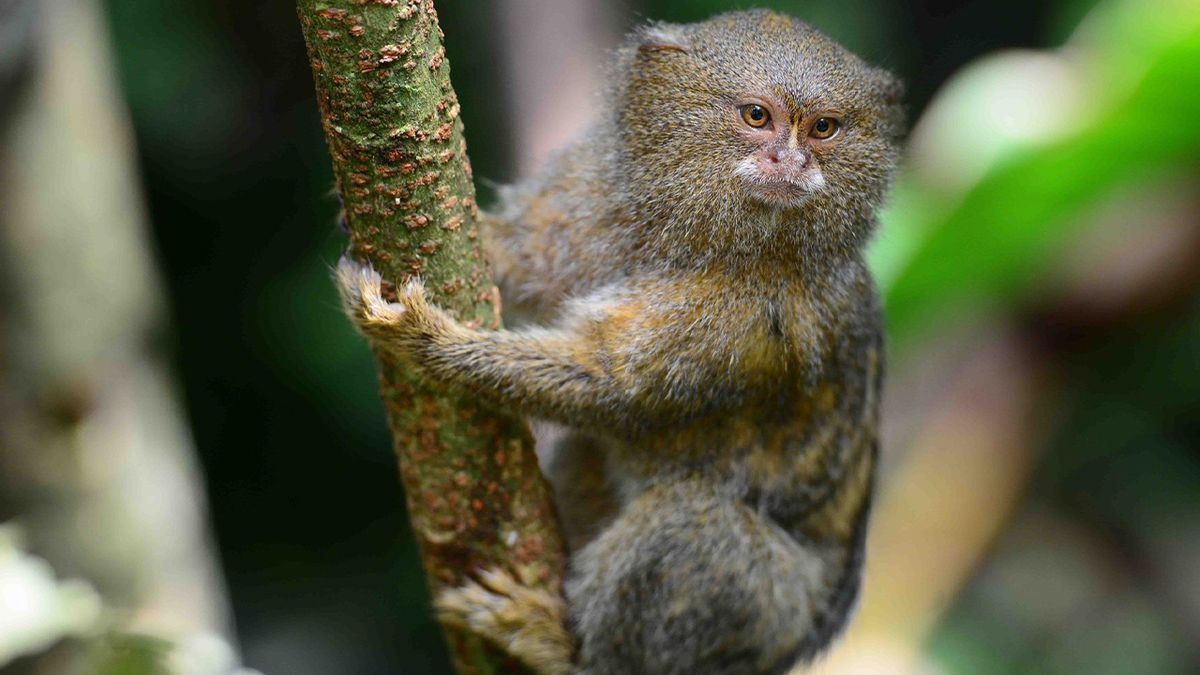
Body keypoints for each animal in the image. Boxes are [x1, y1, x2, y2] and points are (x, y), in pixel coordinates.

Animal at [337, 9, 904, 675]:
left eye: (823, 128)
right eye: (757, 116)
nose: (789, 162)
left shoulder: (752, 318)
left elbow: (609, 385)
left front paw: (424, 339)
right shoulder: (592, 200)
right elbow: (525, 262)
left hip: (767, 614)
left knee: (691, 527)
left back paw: (557, 645)